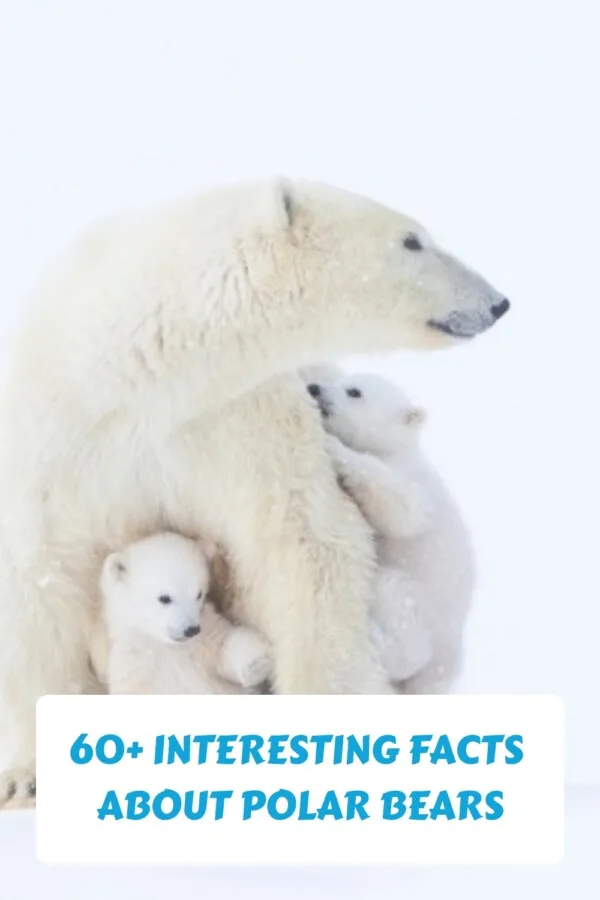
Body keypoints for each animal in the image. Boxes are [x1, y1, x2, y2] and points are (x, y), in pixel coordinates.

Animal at [92, 531, 272, 695]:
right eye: (165, 598)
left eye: (199, 594)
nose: (191, 629)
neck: (169, 648)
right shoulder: (135, 664)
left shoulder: (205, 637)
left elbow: (224, 646)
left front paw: (258, 662)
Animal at [309, 371, 475, 693]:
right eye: (342, 380)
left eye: (354, 391)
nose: (314, 387)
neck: (396, 449)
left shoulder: (415, 484)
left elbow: (402, 508)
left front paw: (335, 447)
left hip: (422, 600)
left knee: (399, 610)